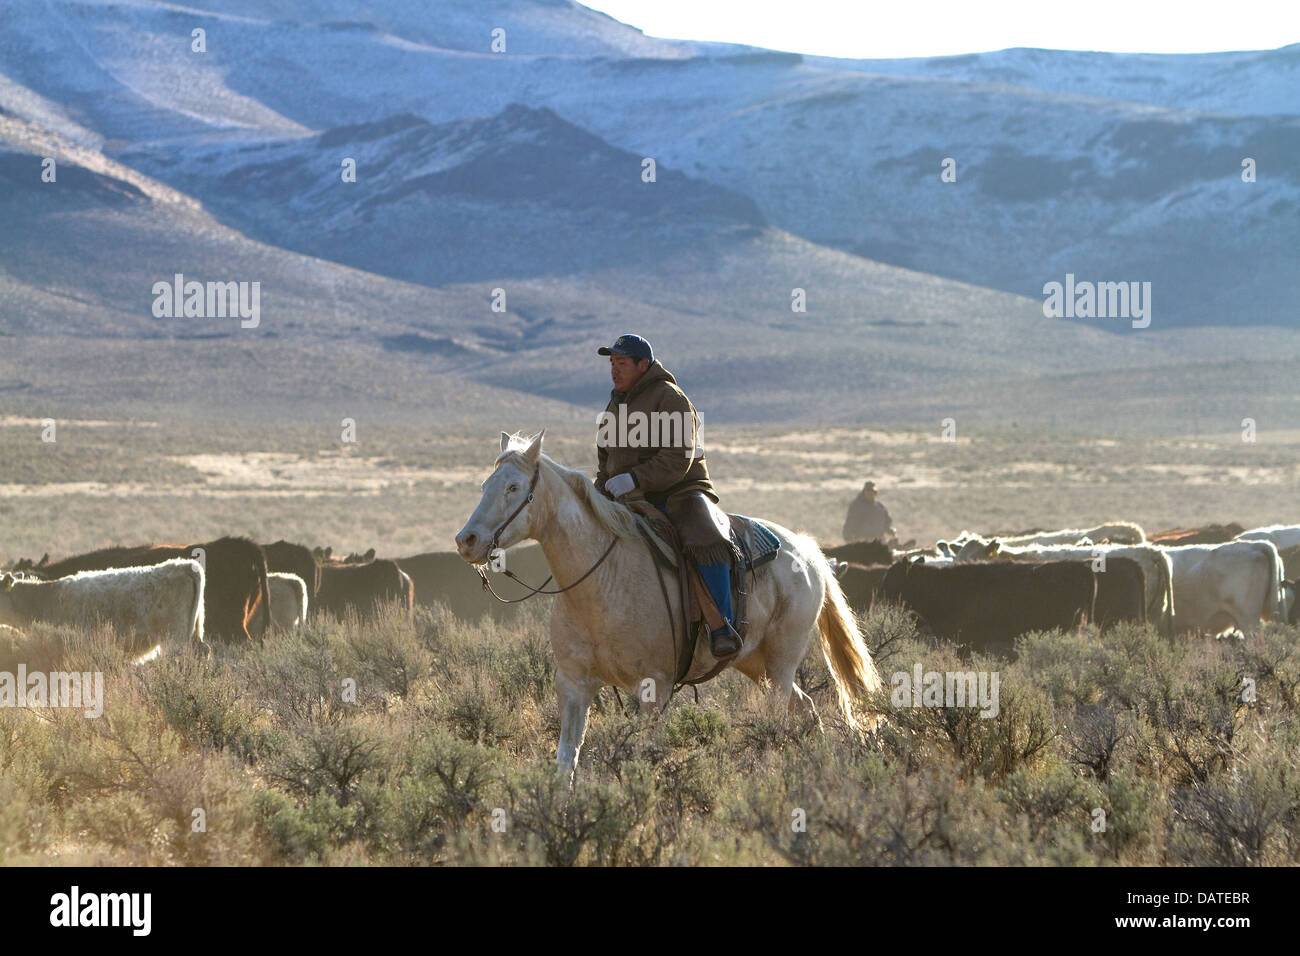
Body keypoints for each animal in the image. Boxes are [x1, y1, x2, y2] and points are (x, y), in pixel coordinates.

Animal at [454, 434, 883, 785]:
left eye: (513, 487)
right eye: (485, 485)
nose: (466, 540)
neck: (602, 580)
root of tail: (808, 551)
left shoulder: (654, 689)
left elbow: (644, 761)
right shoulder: (574, 683)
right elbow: (565, 763)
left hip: (781, 660)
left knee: (780, 719)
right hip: (755, 662)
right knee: (806, 709)